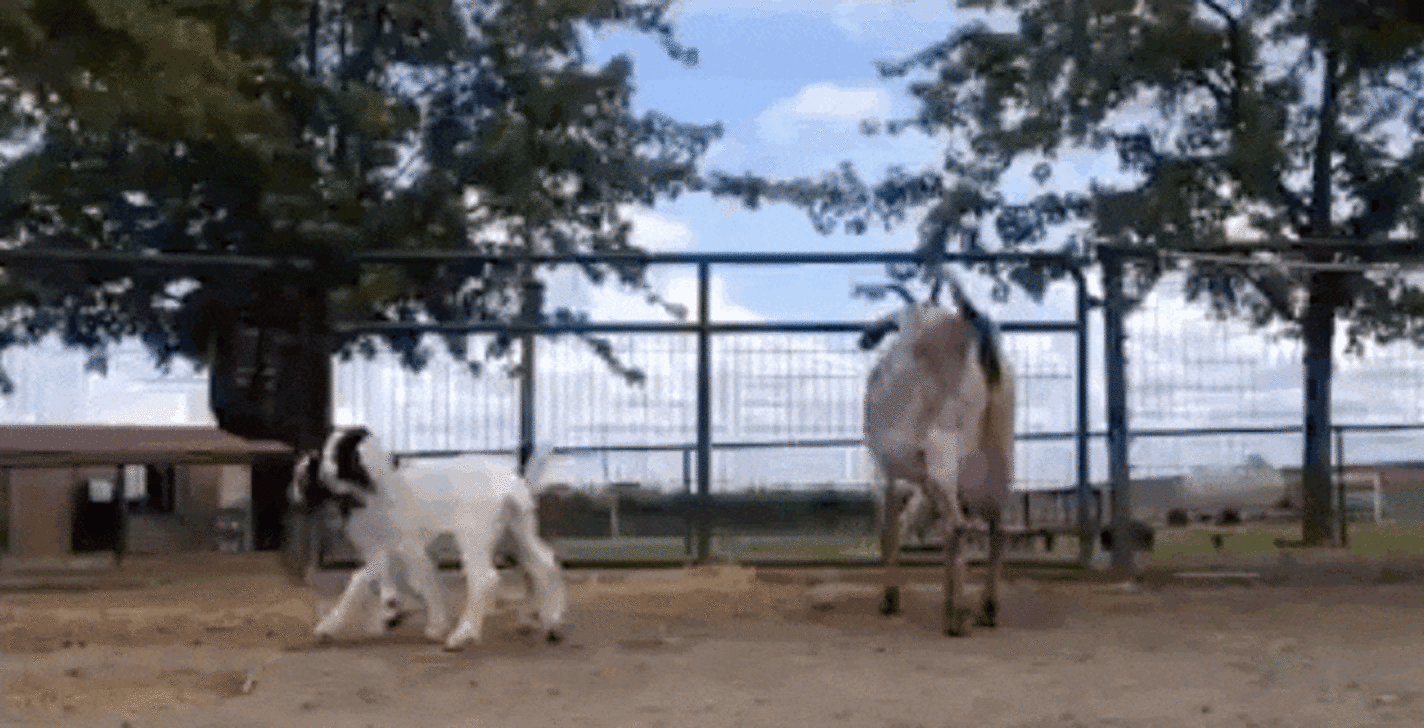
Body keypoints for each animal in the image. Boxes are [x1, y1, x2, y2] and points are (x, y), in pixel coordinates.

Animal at [289, 428, 567, 651]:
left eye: (336, 453)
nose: (293, 497)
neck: (379, 490)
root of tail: (512, 486)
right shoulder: (398, 551)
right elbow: (416, 581)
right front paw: (398, 615)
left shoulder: (399, 546)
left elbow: (364, 581)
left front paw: (329, 626)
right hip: (517, 531)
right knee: (543, 565)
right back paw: (551, 624)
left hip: (474, 534)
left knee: (485, 579)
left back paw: (463, 636)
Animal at [861, 276, 1015, 636]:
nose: (866, 335)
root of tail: (974, 326)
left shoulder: (884, 471)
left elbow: (888, 528)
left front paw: (890, 599)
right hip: (999, 458)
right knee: (997, 529)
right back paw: (987, 610)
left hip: (943, 450)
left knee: (958, 526)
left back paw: (954, 615)